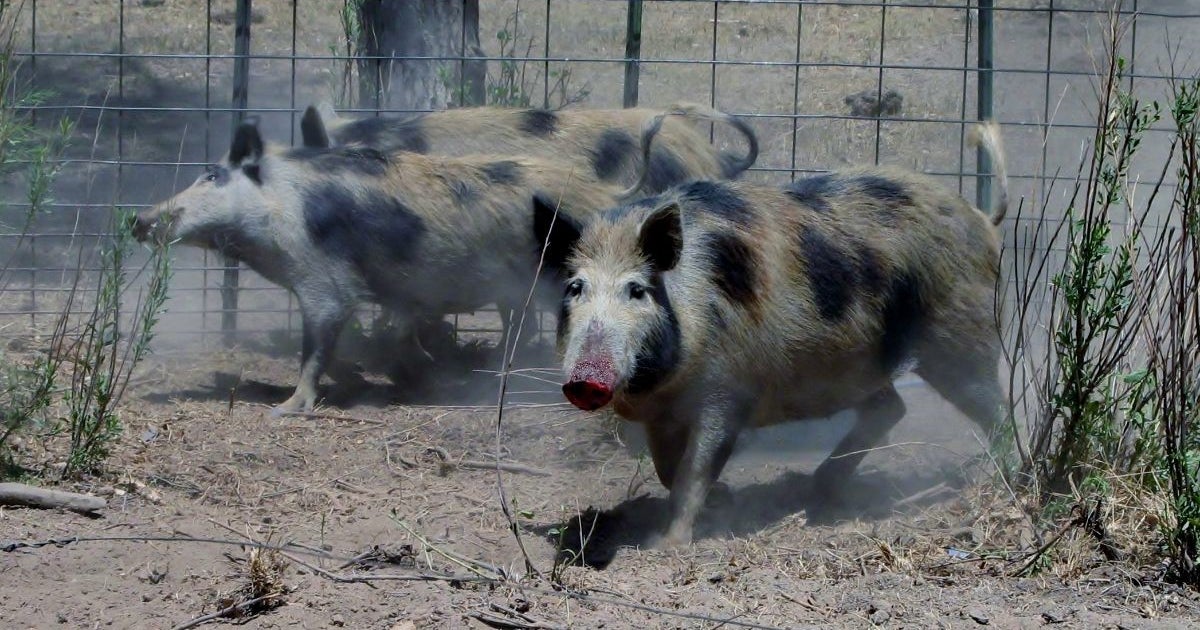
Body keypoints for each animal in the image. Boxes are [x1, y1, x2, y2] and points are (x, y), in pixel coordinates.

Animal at [133, 118, 627, 415]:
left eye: (211, 175)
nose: (139, 219)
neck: (280, 207)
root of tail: (613, 196)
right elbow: (386, 337)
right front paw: (412, 374)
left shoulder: (321, 277)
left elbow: (317, 344)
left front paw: (287, 408)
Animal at [536, 121, 1010, 546]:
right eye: (575, 287)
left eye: (637, 290)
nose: (586, 380)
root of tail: (982, 220)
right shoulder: (660, 414)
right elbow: (667, 469)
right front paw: (720, 500)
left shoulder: (729, 390)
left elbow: (694, 469)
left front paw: (666, 545)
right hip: (858, 367)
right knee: (891, 408)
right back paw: (816, 488)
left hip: (959, 336)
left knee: (997, 408)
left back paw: (994, 474)